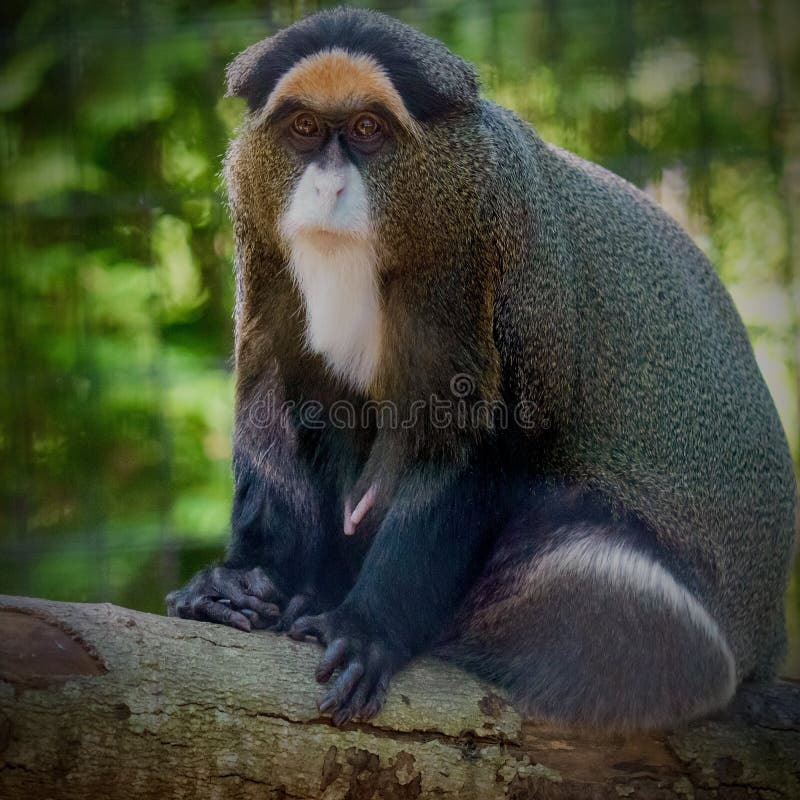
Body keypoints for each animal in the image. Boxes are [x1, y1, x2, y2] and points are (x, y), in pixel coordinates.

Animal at [166, 7, 797, 730]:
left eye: (367, 130)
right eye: (304, 130)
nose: (326, 185)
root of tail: (764, 648)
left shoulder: (490, 246)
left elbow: (470, 450)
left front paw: (367, 628)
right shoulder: (265, 255)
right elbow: (274, 413)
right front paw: (233, 584)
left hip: (686, 646)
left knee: (593, 579)